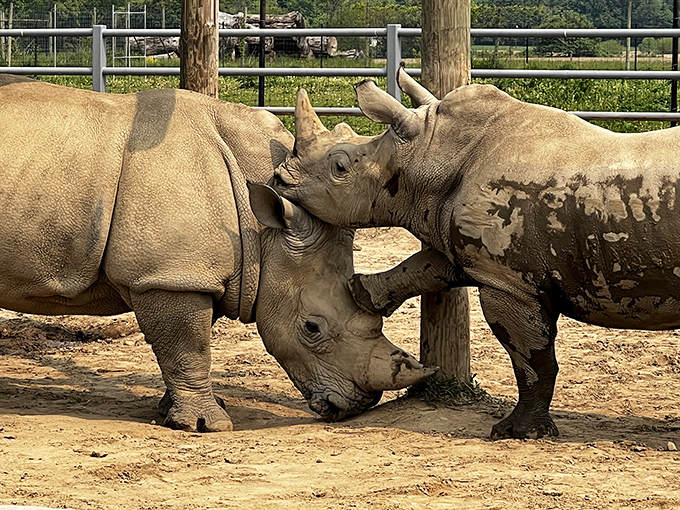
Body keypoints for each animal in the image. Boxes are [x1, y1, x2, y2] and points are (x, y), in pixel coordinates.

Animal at [0, 74, 434, 432]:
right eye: (312, 328)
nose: (360, 406)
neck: (266, 234)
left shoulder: (192, 271)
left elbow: (188, 343)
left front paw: (174, 411)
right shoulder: (170, 276)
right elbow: (188, 344)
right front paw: (206, 425)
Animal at [272, 67, 680, 439]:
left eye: (339, 166)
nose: (278, 179)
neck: (428, 153)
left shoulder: (508, 281)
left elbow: (532, 361)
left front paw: (516, 433)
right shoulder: (464, 243)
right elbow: (430, 266)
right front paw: (361, 293)